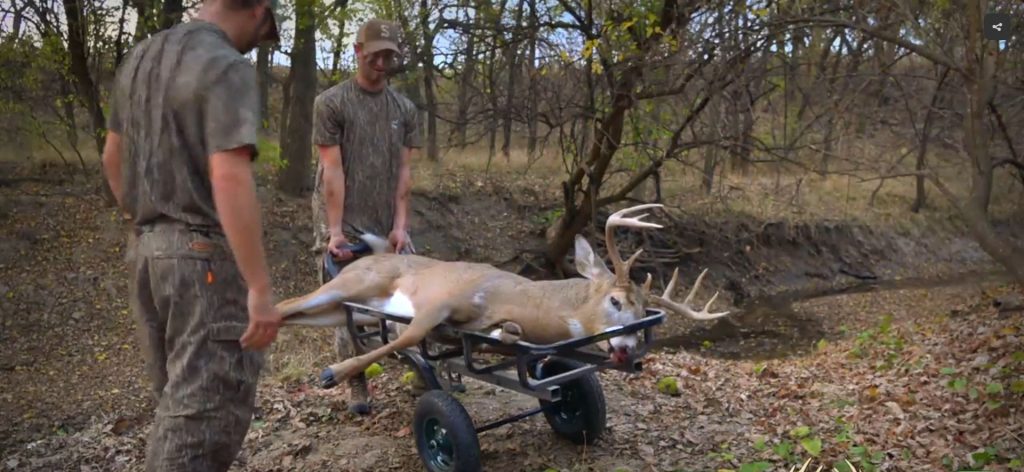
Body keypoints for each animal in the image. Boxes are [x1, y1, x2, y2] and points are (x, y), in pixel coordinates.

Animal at [276, 203, 731, 385]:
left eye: (643, 312)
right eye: (616, 301)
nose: (627, 348)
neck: (524, 299)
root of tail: (363, 257)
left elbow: (502, 335)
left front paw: (502, 332)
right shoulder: (442, 299)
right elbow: (407, 338)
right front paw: (333, 373)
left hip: (352, 310)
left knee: (293, 314)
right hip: (352, 285)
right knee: (285, 303)